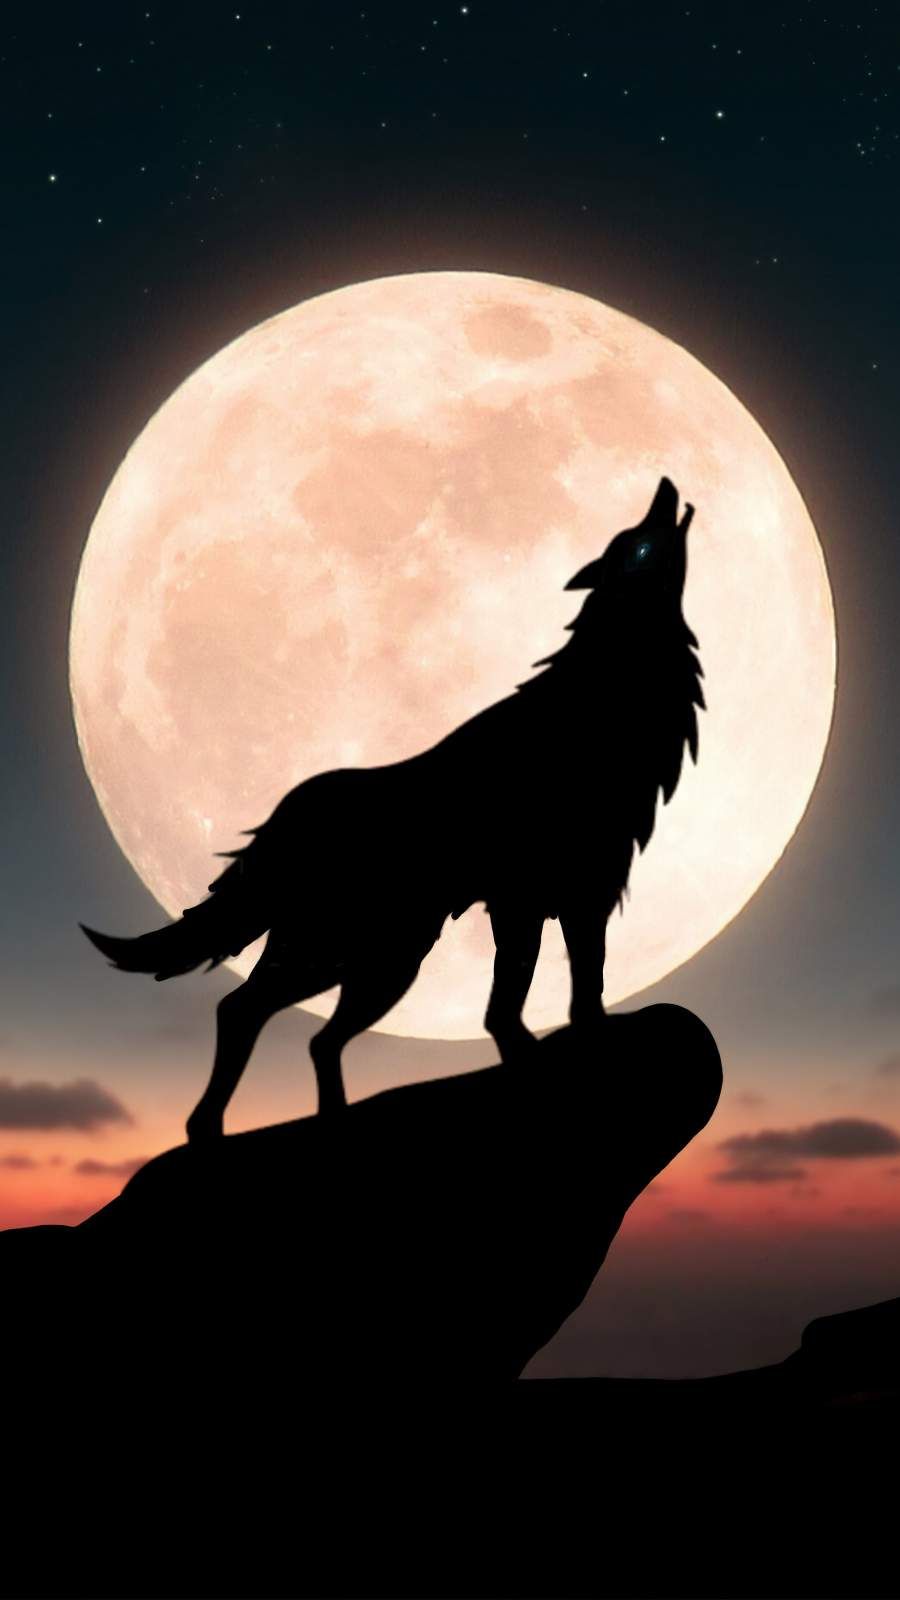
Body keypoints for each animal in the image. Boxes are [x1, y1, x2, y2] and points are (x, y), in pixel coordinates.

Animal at [81, 476, 703, 1143]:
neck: (603, 700)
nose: (666, 485)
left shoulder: (572, 894)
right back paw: (208, 1130)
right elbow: (524, 999)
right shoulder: (538, 896)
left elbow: (567, 990)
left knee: (313, 1038)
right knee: (242, 1010)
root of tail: (282, 818)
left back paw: (328, 1119)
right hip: (350, 955)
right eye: (638, 545)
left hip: (377, 961)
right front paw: (539, 1060)